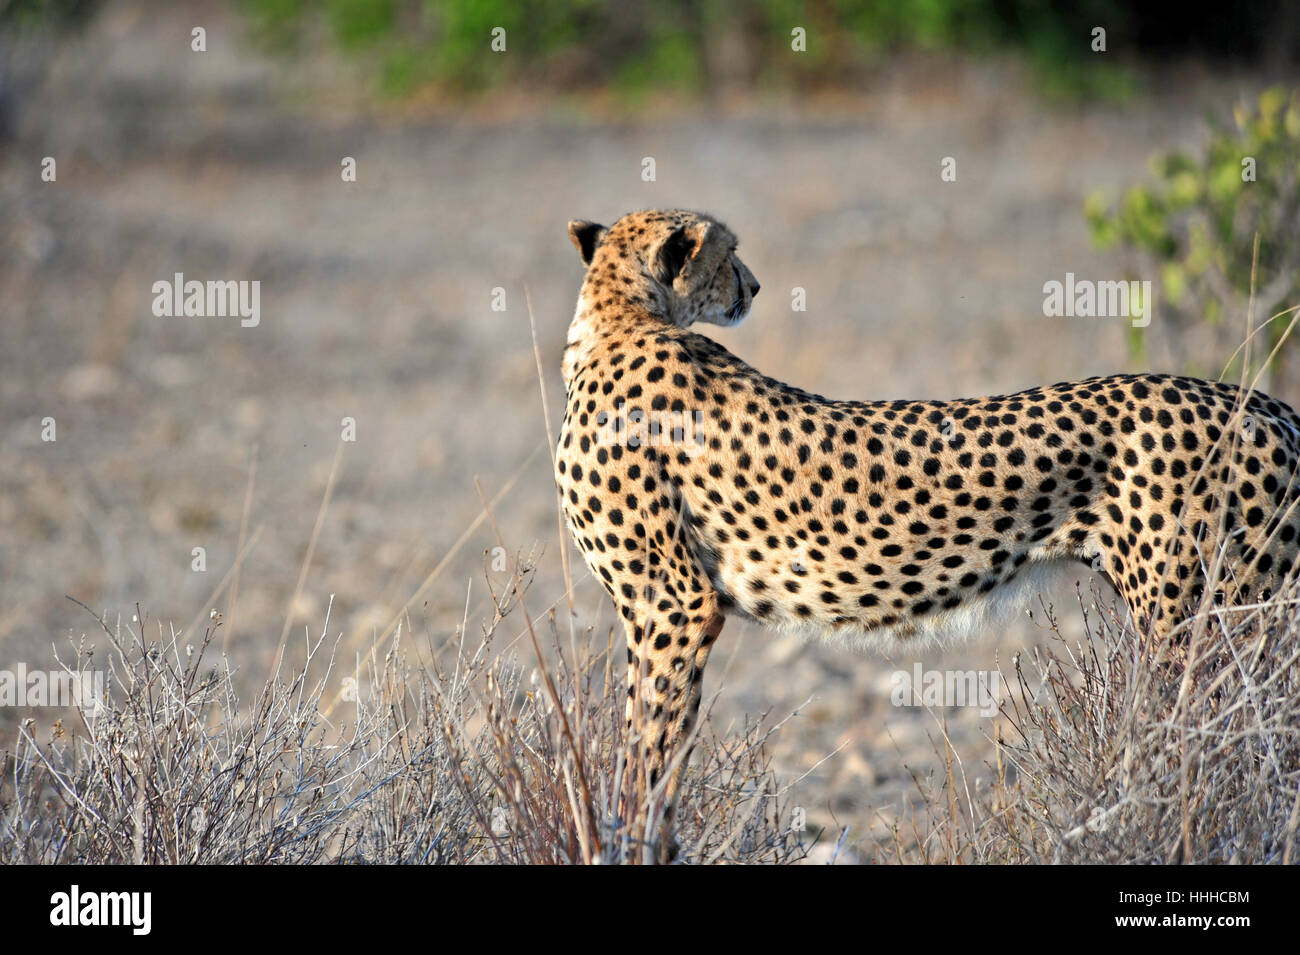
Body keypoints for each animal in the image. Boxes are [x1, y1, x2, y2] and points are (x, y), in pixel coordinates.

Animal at [554, 208, 1300, 859]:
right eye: (727, 251)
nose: (755, 285)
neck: (619, 320)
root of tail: (1266, 404)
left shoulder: (672, 603)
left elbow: (647, 747)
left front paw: (628, 840)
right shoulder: (673, 606)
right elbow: (657, 742)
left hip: (1204, 623)